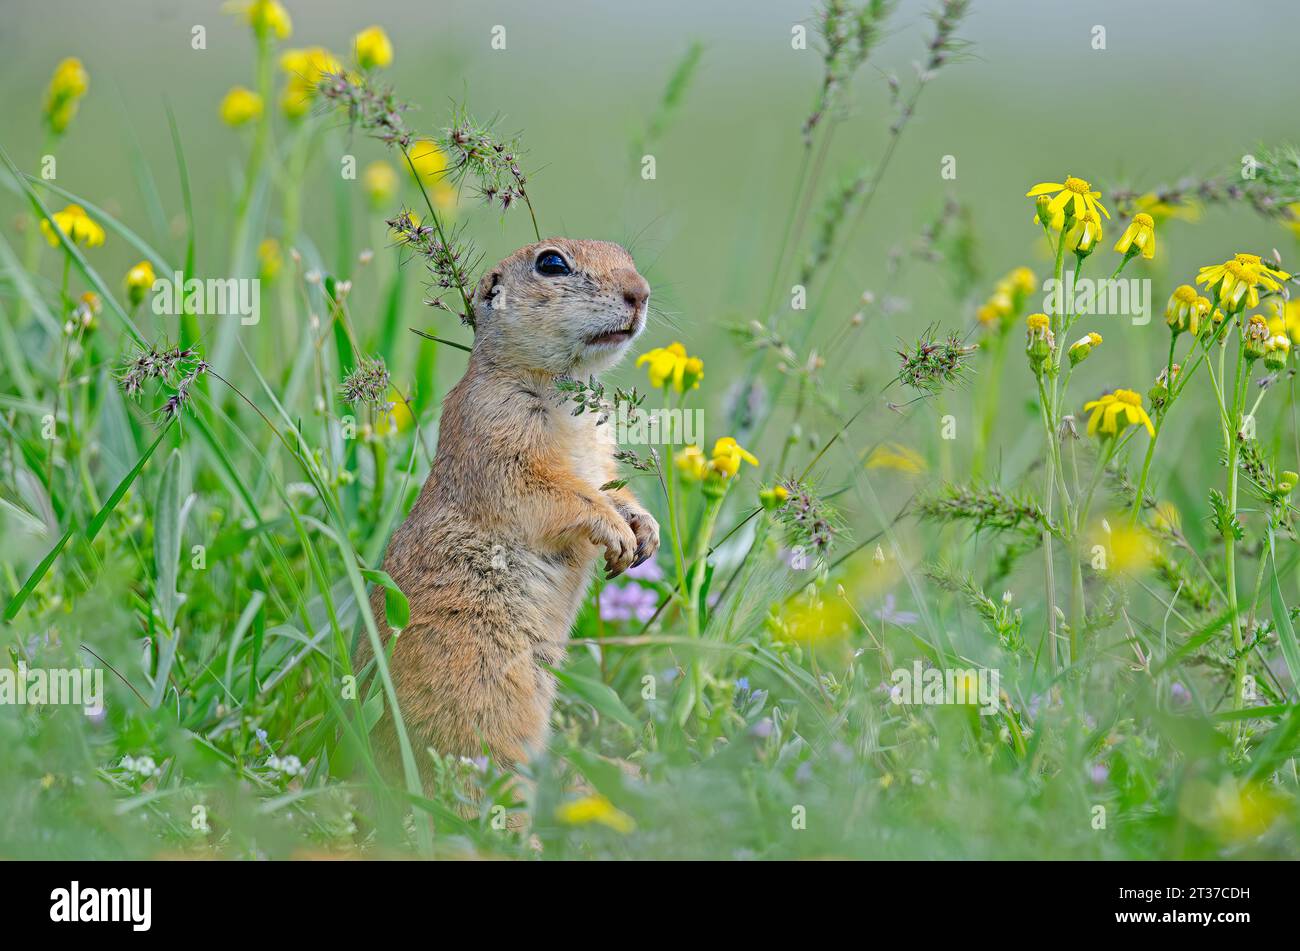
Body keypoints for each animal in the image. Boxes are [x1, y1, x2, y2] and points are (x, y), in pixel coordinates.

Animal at [358, 238, 660, 775]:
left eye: (624, 254)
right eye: (552, 263)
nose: (640, 292)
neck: (564, 385)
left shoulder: (602, 448)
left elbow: (609, 485)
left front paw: (643, 527)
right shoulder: (496, 425)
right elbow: (546, 491)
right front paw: (614, 529)